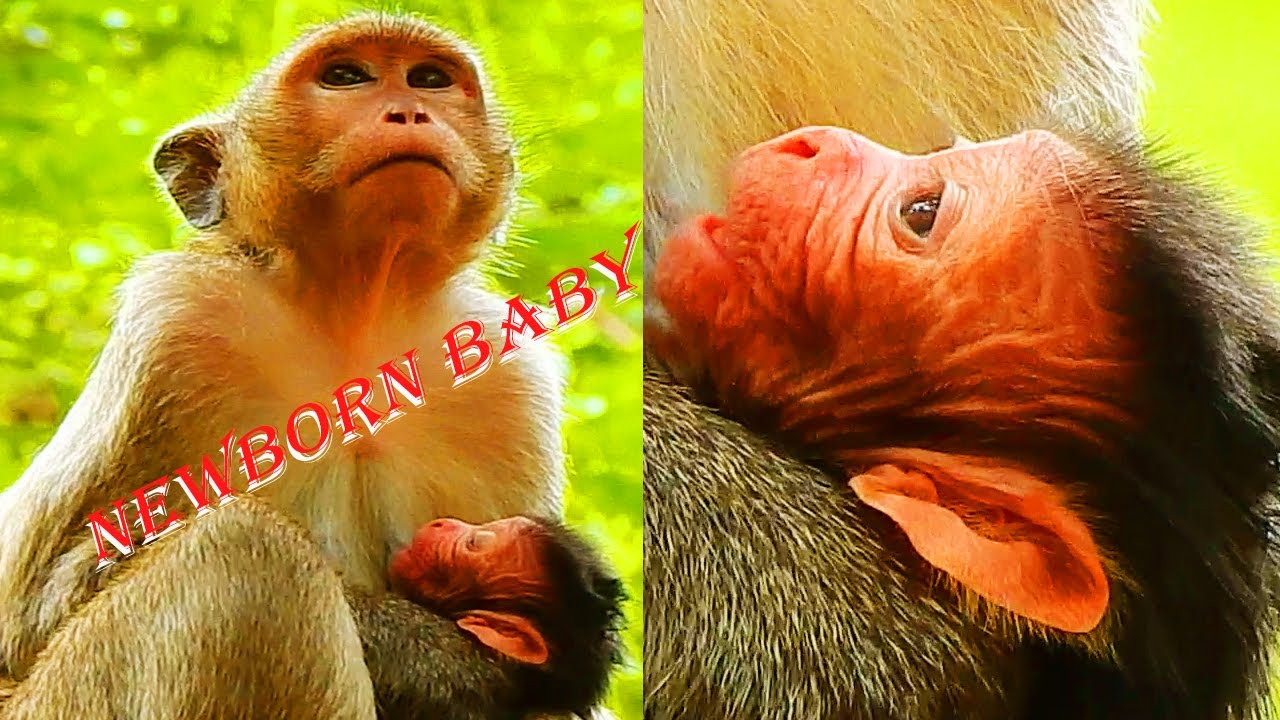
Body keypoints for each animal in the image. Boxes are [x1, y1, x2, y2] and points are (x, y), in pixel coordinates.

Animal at [0, 12, 579, 719]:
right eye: (346, 76)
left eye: (429, 79)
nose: (410, 110)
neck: (350, 327)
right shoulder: (180, 322)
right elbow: (44, 601)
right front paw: (443, 659)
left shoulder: (506, 384)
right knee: (249, 554)